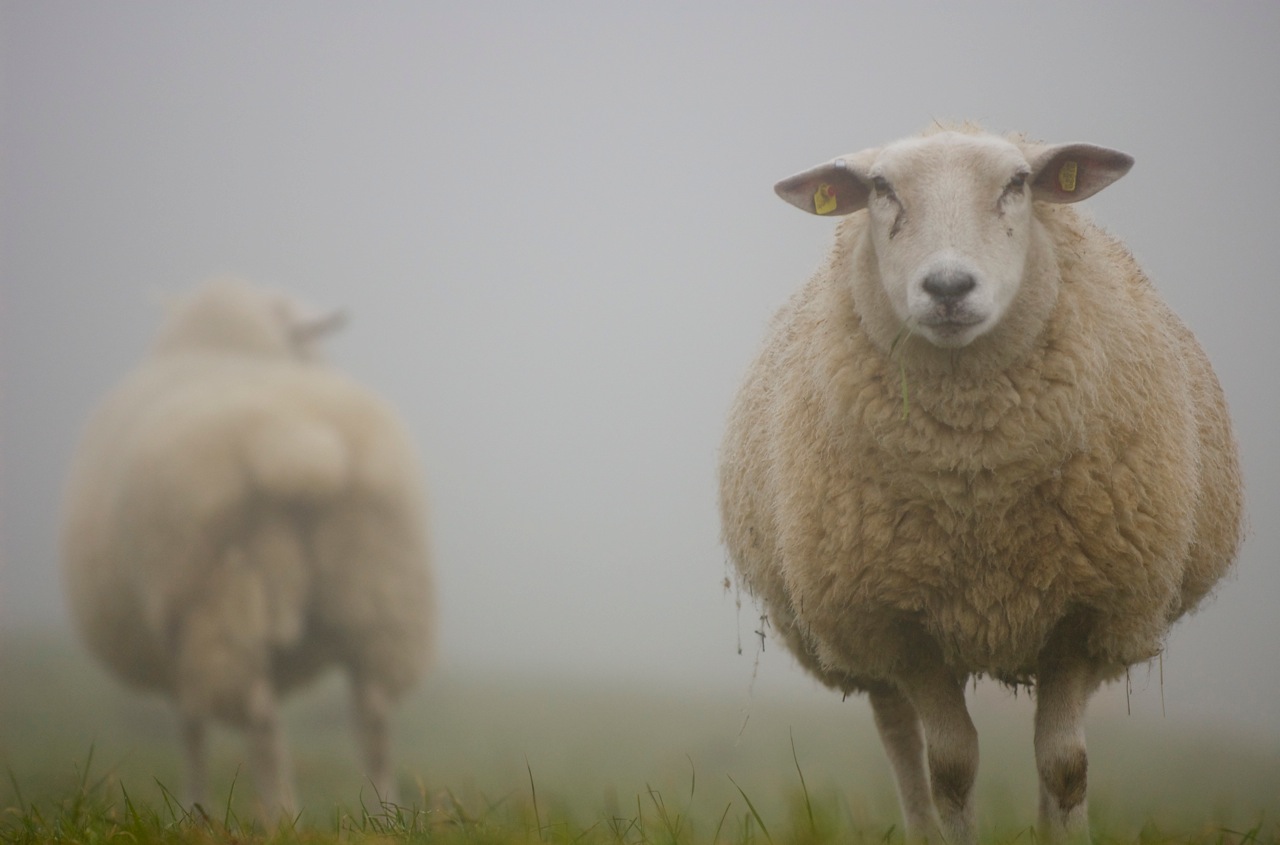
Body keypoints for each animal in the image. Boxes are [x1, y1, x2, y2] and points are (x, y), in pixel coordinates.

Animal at [60, 277, 434, 818]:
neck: (226, 343)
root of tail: (299, 445)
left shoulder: (177, 632)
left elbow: (190, 727)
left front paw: (193, 813)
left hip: (225, 595)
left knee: (259, 720)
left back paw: (280, 816)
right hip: (383, 587)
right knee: (375, 712)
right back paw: (387, 817)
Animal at [719, 126, 1243, 844]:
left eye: (1018, 184)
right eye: (880, 189)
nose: (947, 286)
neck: (976, 474)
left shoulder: (1082, 609)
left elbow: (1065, 764)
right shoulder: (902, 623)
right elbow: (951, 768)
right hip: (860, 625)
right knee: (901, 743)